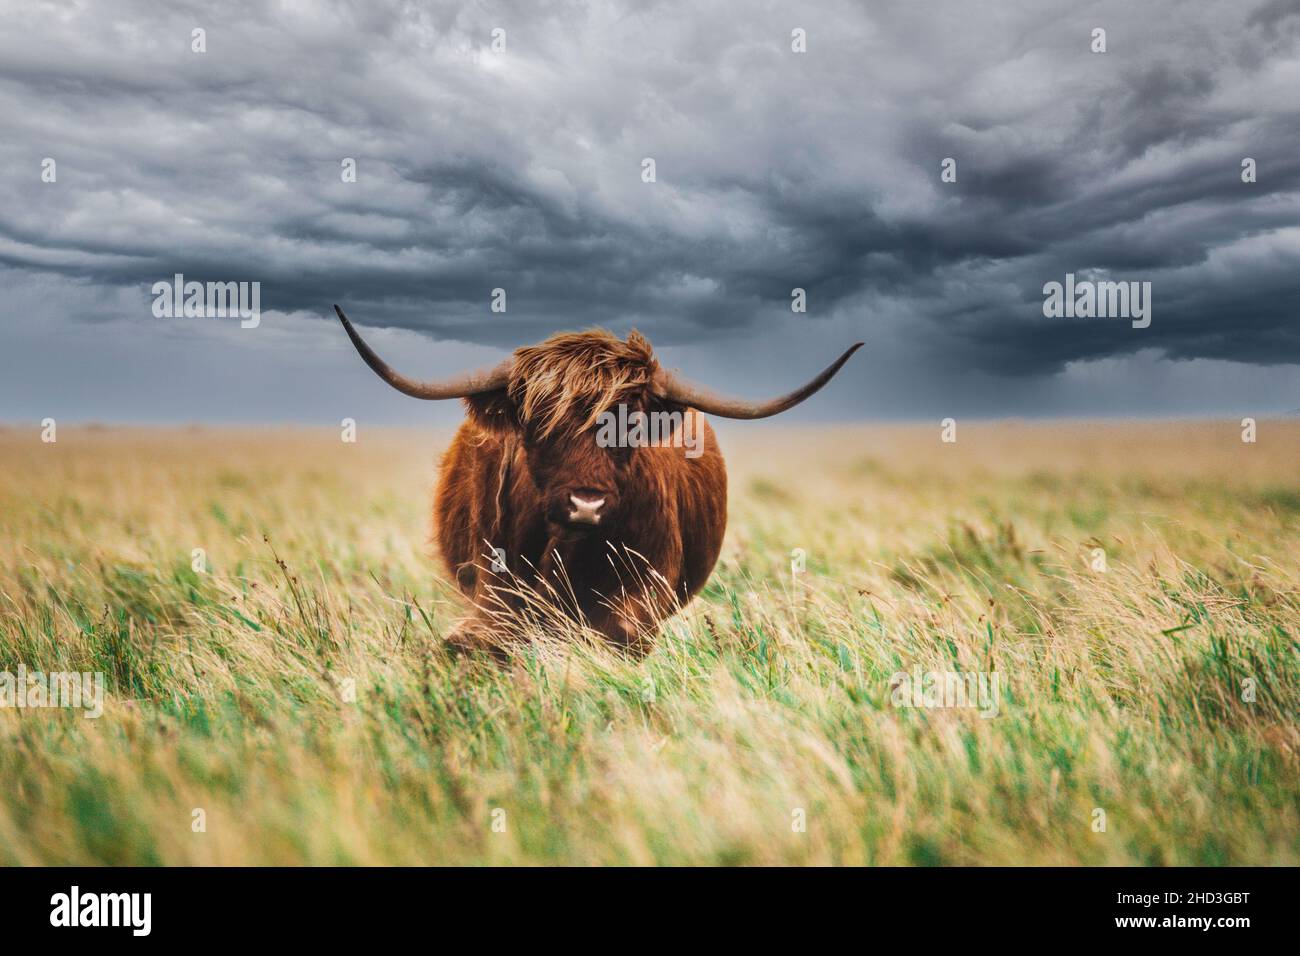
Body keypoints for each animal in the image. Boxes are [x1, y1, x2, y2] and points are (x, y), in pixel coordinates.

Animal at [334, 305, 861, 656]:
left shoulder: (648, 587)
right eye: (538, 424)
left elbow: (620, 634)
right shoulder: (496, 586)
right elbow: (485, 638)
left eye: (630, 425)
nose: (585, 504)